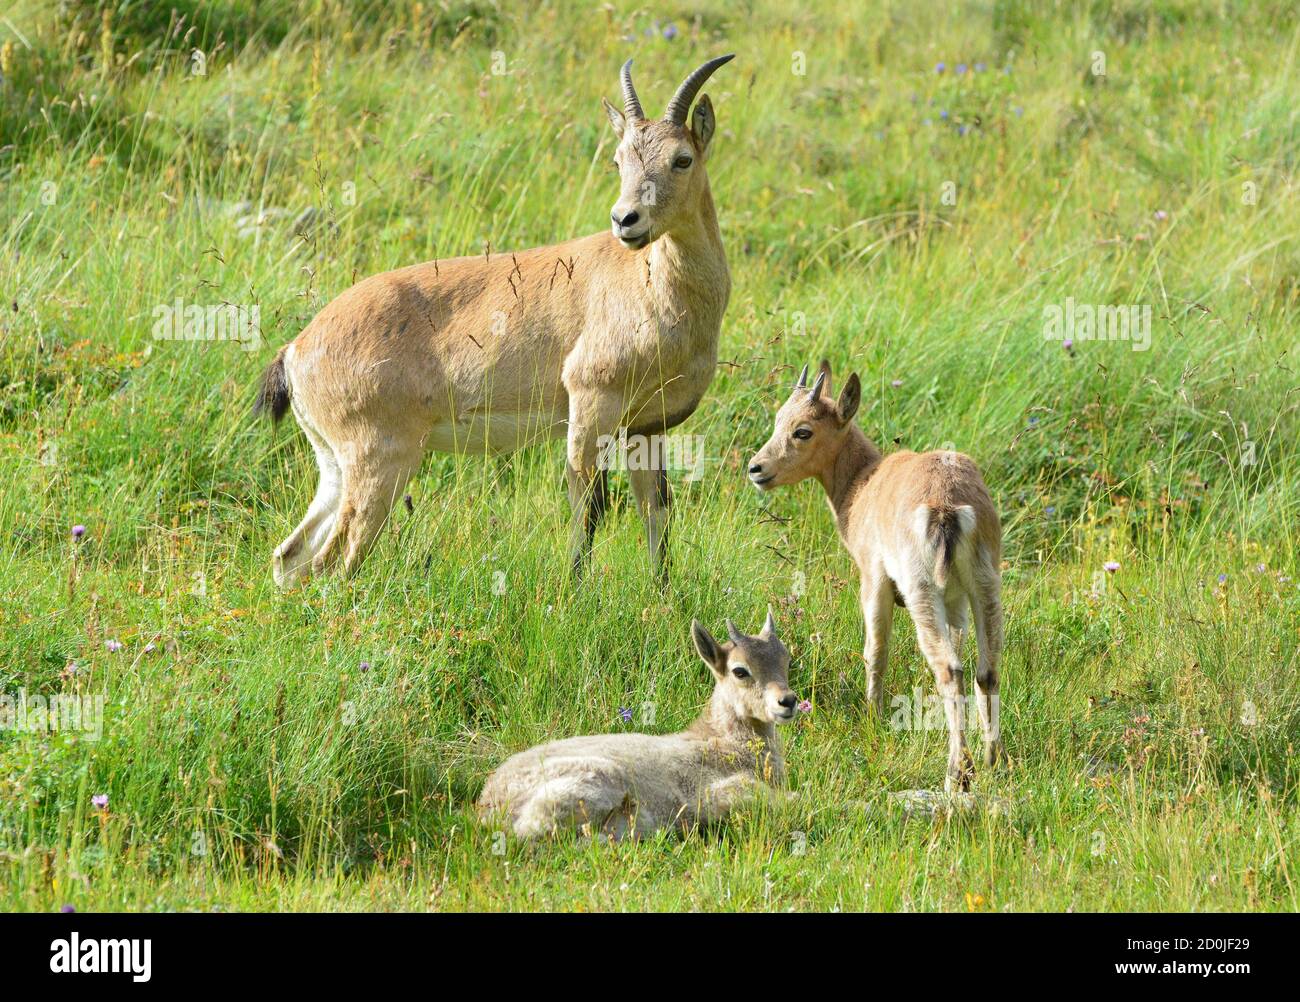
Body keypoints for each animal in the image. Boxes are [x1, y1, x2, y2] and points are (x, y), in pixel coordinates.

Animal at [255, 55, 735, 587]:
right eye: (618, 159)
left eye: (681, 158)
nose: (625, 220)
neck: (652, 288)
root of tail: (296, 350)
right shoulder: (590, 405)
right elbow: (588, 507)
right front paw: (574, 591)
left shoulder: (647, 426)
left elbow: (657, 512)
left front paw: (662, 594)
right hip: (380, 463)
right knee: (335, 561)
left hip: (334, 466)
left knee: (289, 556)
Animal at [477, 612, 799, 840]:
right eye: (740, 671)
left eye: (786, 660)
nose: (788, 701)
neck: (724, 743)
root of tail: (489, 805)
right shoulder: (715, 791)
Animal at [747, 361, 1004, 791]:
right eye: (779, 418)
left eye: (803, 430)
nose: (756, 468)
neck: (863, 484)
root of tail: (950, 509)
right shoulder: (955, 602)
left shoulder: (874, 577)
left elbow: (875, 650)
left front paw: (873, 716)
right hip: (983, 585)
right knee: (986, 669)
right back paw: (992, 758)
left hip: (921, 591)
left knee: (949, 669)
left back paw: (958, 772)